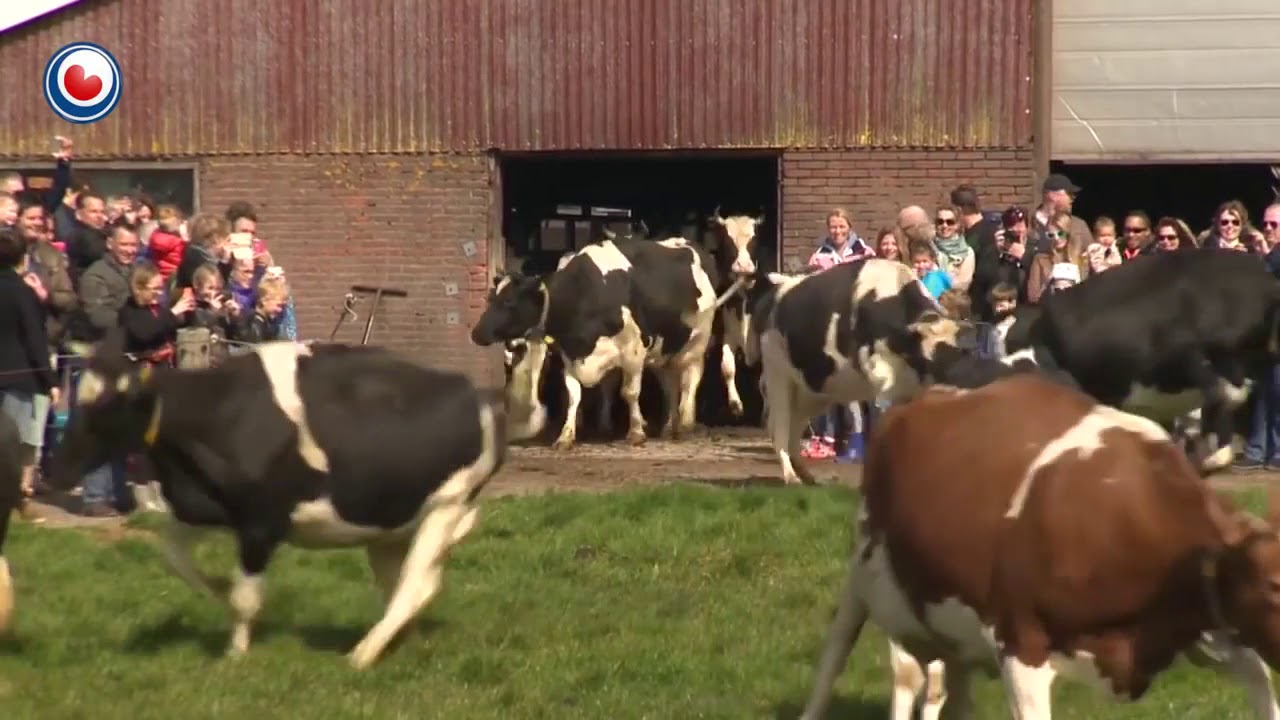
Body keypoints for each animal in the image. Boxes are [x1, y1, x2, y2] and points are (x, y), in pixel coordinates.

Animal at [47, 329, 527, 670]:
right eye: (80, 396)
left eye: (110, 403)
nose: (56, 471)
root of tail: (480, 396)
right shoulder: (202, 509)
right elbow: (175, 557)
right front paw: (217, 591)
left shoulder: (261, 524)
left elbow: (245, 597)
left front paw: (235, 655)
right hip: (390, 524)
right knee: (403, 585)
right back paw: (402, 642)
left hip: (447, 506)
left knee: (416, 585)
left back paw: (362, 654)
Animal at [471, 236, 741, 450]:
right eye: (491, 298)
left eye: (509, 302)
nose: (476, 334)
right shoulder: (570, 355)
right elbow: (573, 395)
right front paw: (565, 437)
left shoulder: (634, 351)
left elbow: (630, 392)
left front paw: (636, 433)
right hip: (663, 350)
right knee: (670, 385)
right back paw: (668, 426)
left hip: (696, 341)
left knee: (691, 378)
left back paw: (684, 423)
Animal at [749, 258, 971, 485]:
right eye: (928, 357)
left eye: (959, 352)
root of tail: (775, 291)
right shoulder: (881, 381)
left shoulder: (910, 390)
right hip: (778, 376)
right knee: (780, 427)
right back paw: (790, 476)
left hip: (812, 391)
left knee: (794, 428)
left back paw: (807, 477)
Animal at [798, 374, 1280, 719]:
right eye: (1273, 585)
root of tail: (929, 396)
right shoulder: (1020, 644)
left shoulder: (1207, 622)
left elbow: (1260, 682)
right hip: (871, 584)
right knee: (862, 665)